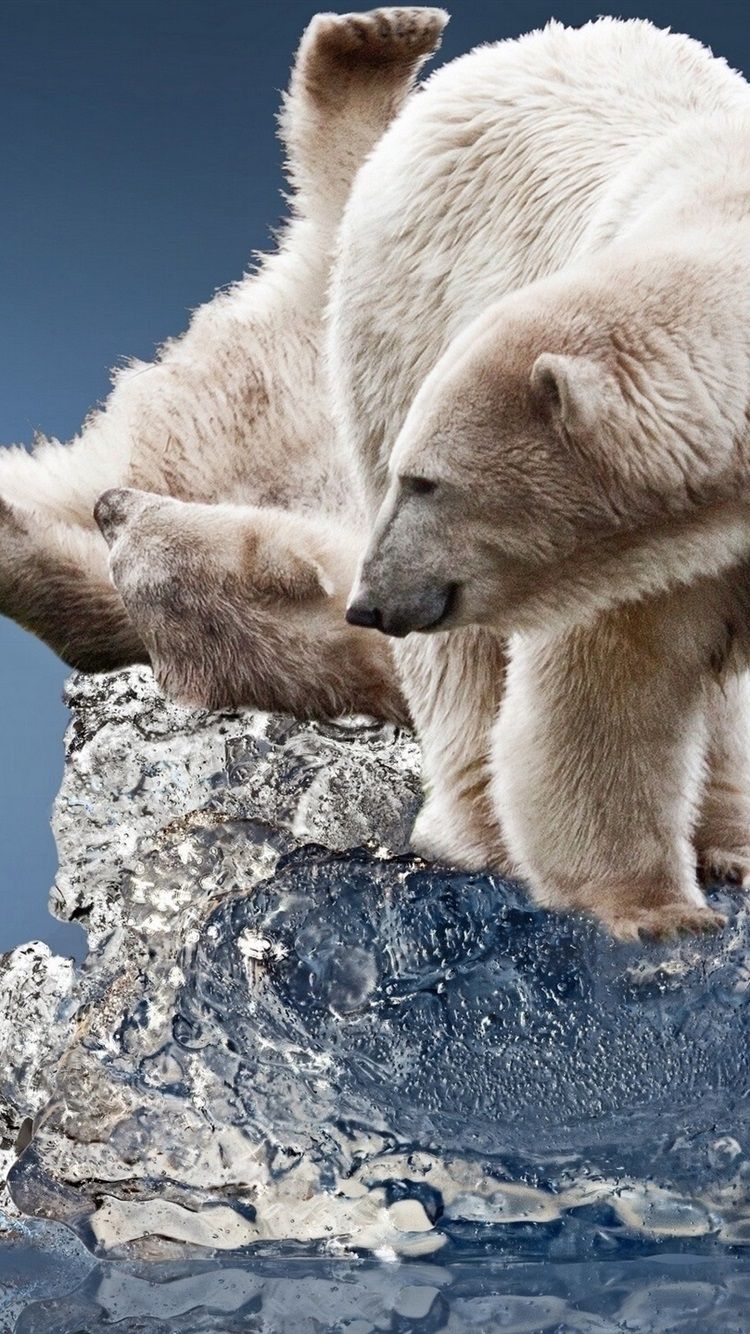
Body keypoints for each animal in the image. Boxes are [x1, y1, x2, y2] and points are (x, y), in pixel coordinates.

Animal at [335, 16, 750, 938]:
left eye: (428, 483)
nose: (367, 603)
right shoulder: (648, 558)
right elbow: (609, 685)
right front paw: (656, 909)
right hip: (398, 326)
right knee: (461, 668)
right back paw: (481, 834)